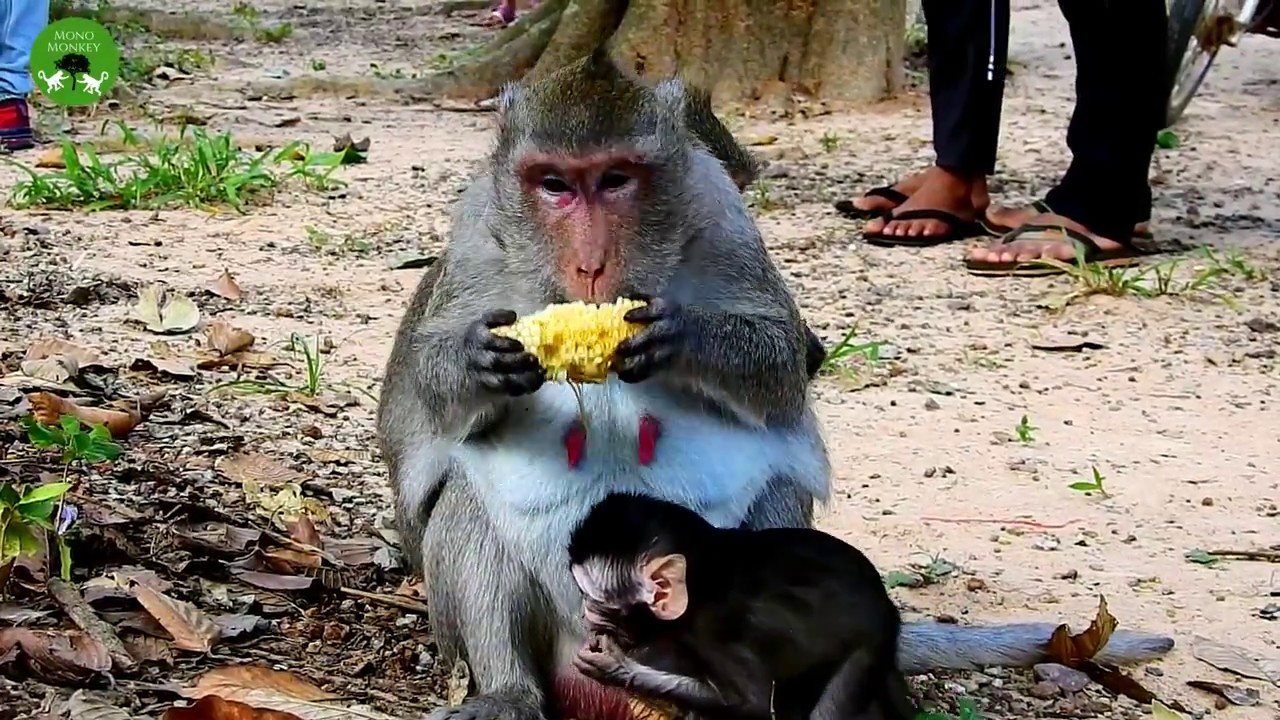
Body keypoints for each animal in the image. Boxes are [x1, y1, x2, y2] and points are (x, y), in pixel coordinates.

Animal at [567, 492, 918, 720]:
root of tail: (886, 605)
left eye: (595, 601)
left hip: (868, 645)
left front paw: (615, 668)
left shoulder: (715, 633)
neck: (703, 582)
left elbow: (752, 703)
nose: (583, 612)